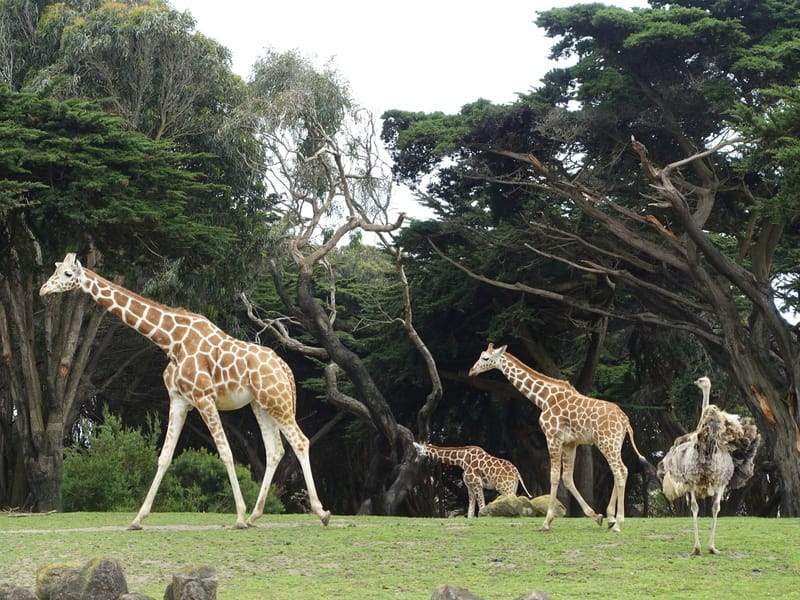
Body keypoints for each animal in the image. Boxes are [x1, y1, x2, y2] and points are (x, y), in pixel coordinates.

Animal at [39, 253, 328, 528]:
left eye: (67, 274)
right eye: (55, 270)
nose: (43, 289)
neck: (171, 340)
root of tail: (285, 368)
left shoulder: (203, 398)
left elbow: (225, 452)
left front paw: (238, 516)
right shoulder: (179, 400)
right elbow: (165, 456)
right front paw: (138, 519)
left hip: (277, 400)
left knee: (300, 441)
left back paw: (319, 512)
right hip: (261, 404)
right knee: (275, 450)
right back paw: (256, 515)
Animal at [468, 344, 648, 532]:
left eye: (485, 358)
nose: (472, 371)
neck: (543, 398)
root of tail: (625, 420)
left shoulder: (552, 437)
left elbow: (554, 476)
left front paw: (546, 521)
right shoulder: (571, 443)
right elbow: (567, 478)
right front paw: (596, 516)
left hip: (607, 442)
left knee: (620, 471)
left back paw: (618, 523)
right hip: (613, 443)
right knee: (620, 470)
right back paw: (611, 518)